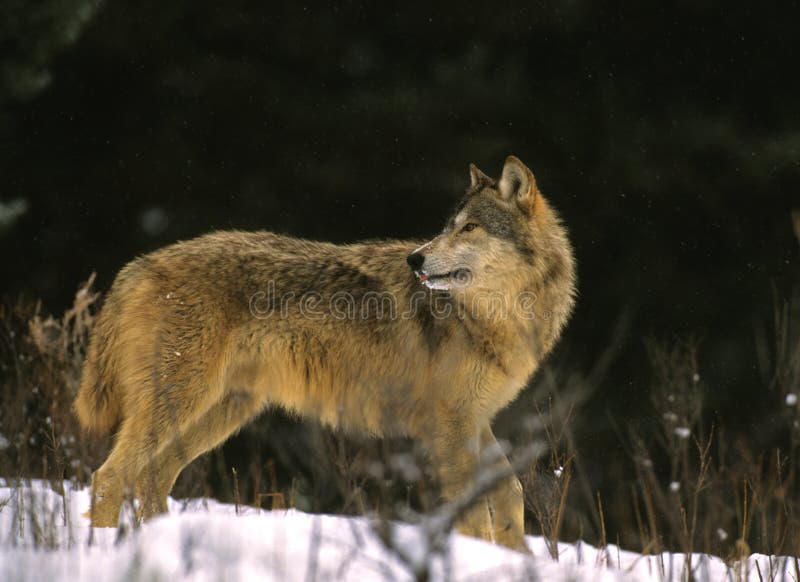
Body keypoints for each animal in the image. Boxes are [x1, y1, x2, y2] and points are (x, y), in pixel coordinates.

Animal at [74, 155, 576, 551]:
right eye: (446, 227)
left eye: (469, 227)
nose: (415, 259)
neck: (492, 317)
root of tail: (139, 265)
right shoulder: (450, 424)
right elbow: (473, 512)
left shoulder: (473, 418)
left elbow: (509, 491)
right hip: (181, 406)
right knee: (109, 477)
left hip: (219, 413)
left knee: (151, 480)